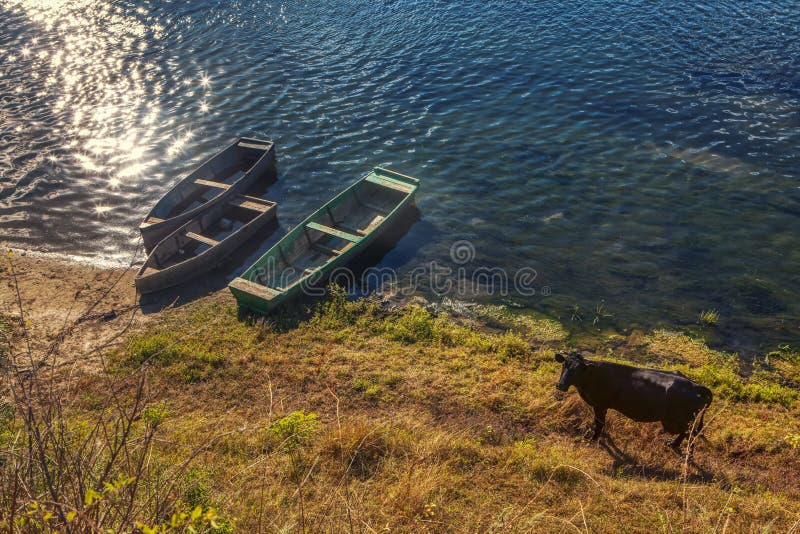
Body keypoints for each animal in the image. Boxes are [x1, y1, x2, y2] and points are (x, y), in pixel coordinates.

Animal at [554, 351, 712, 454]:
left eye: (577, 370)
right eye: (563, 365)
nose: (560, 385)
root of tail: (696, 386)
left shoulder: (600, 405)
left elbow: (599, 423)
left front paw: (593, 438)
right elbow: (600, 423)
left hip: (677, 421)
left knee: (690, 434)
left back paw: (685, 454)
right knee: (687, 434)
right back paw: (673, 445)